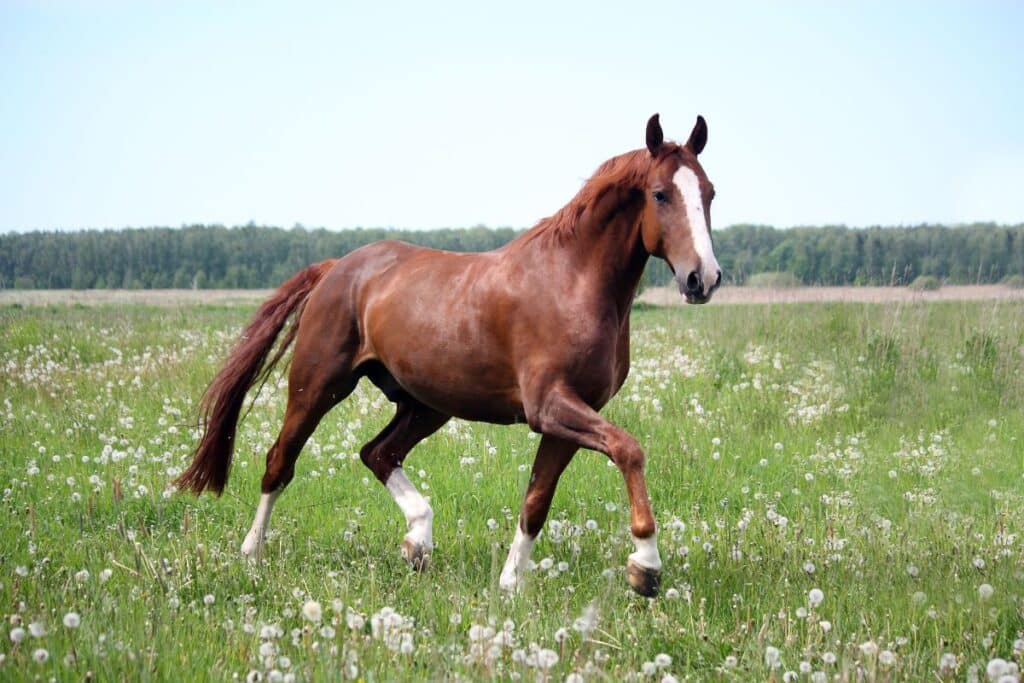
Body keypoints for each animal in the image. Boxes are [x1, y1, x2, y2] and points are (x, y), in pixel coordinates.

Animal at [175, 113, 721, 597]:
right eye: (660, 194)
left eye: (710, 193)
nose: (703, 279)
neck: (571, 281)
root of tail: (336, 269)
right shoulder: (551, 407)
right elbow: (629, 449)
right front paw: (645, 567)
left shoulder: (568, 418)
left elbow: (536, 501)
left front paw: (511, 585)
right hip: (318, 387)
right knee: (280, 462)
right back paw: (252, 554)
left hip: (426, 404)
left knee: (377, 453)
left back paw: (418, 541)